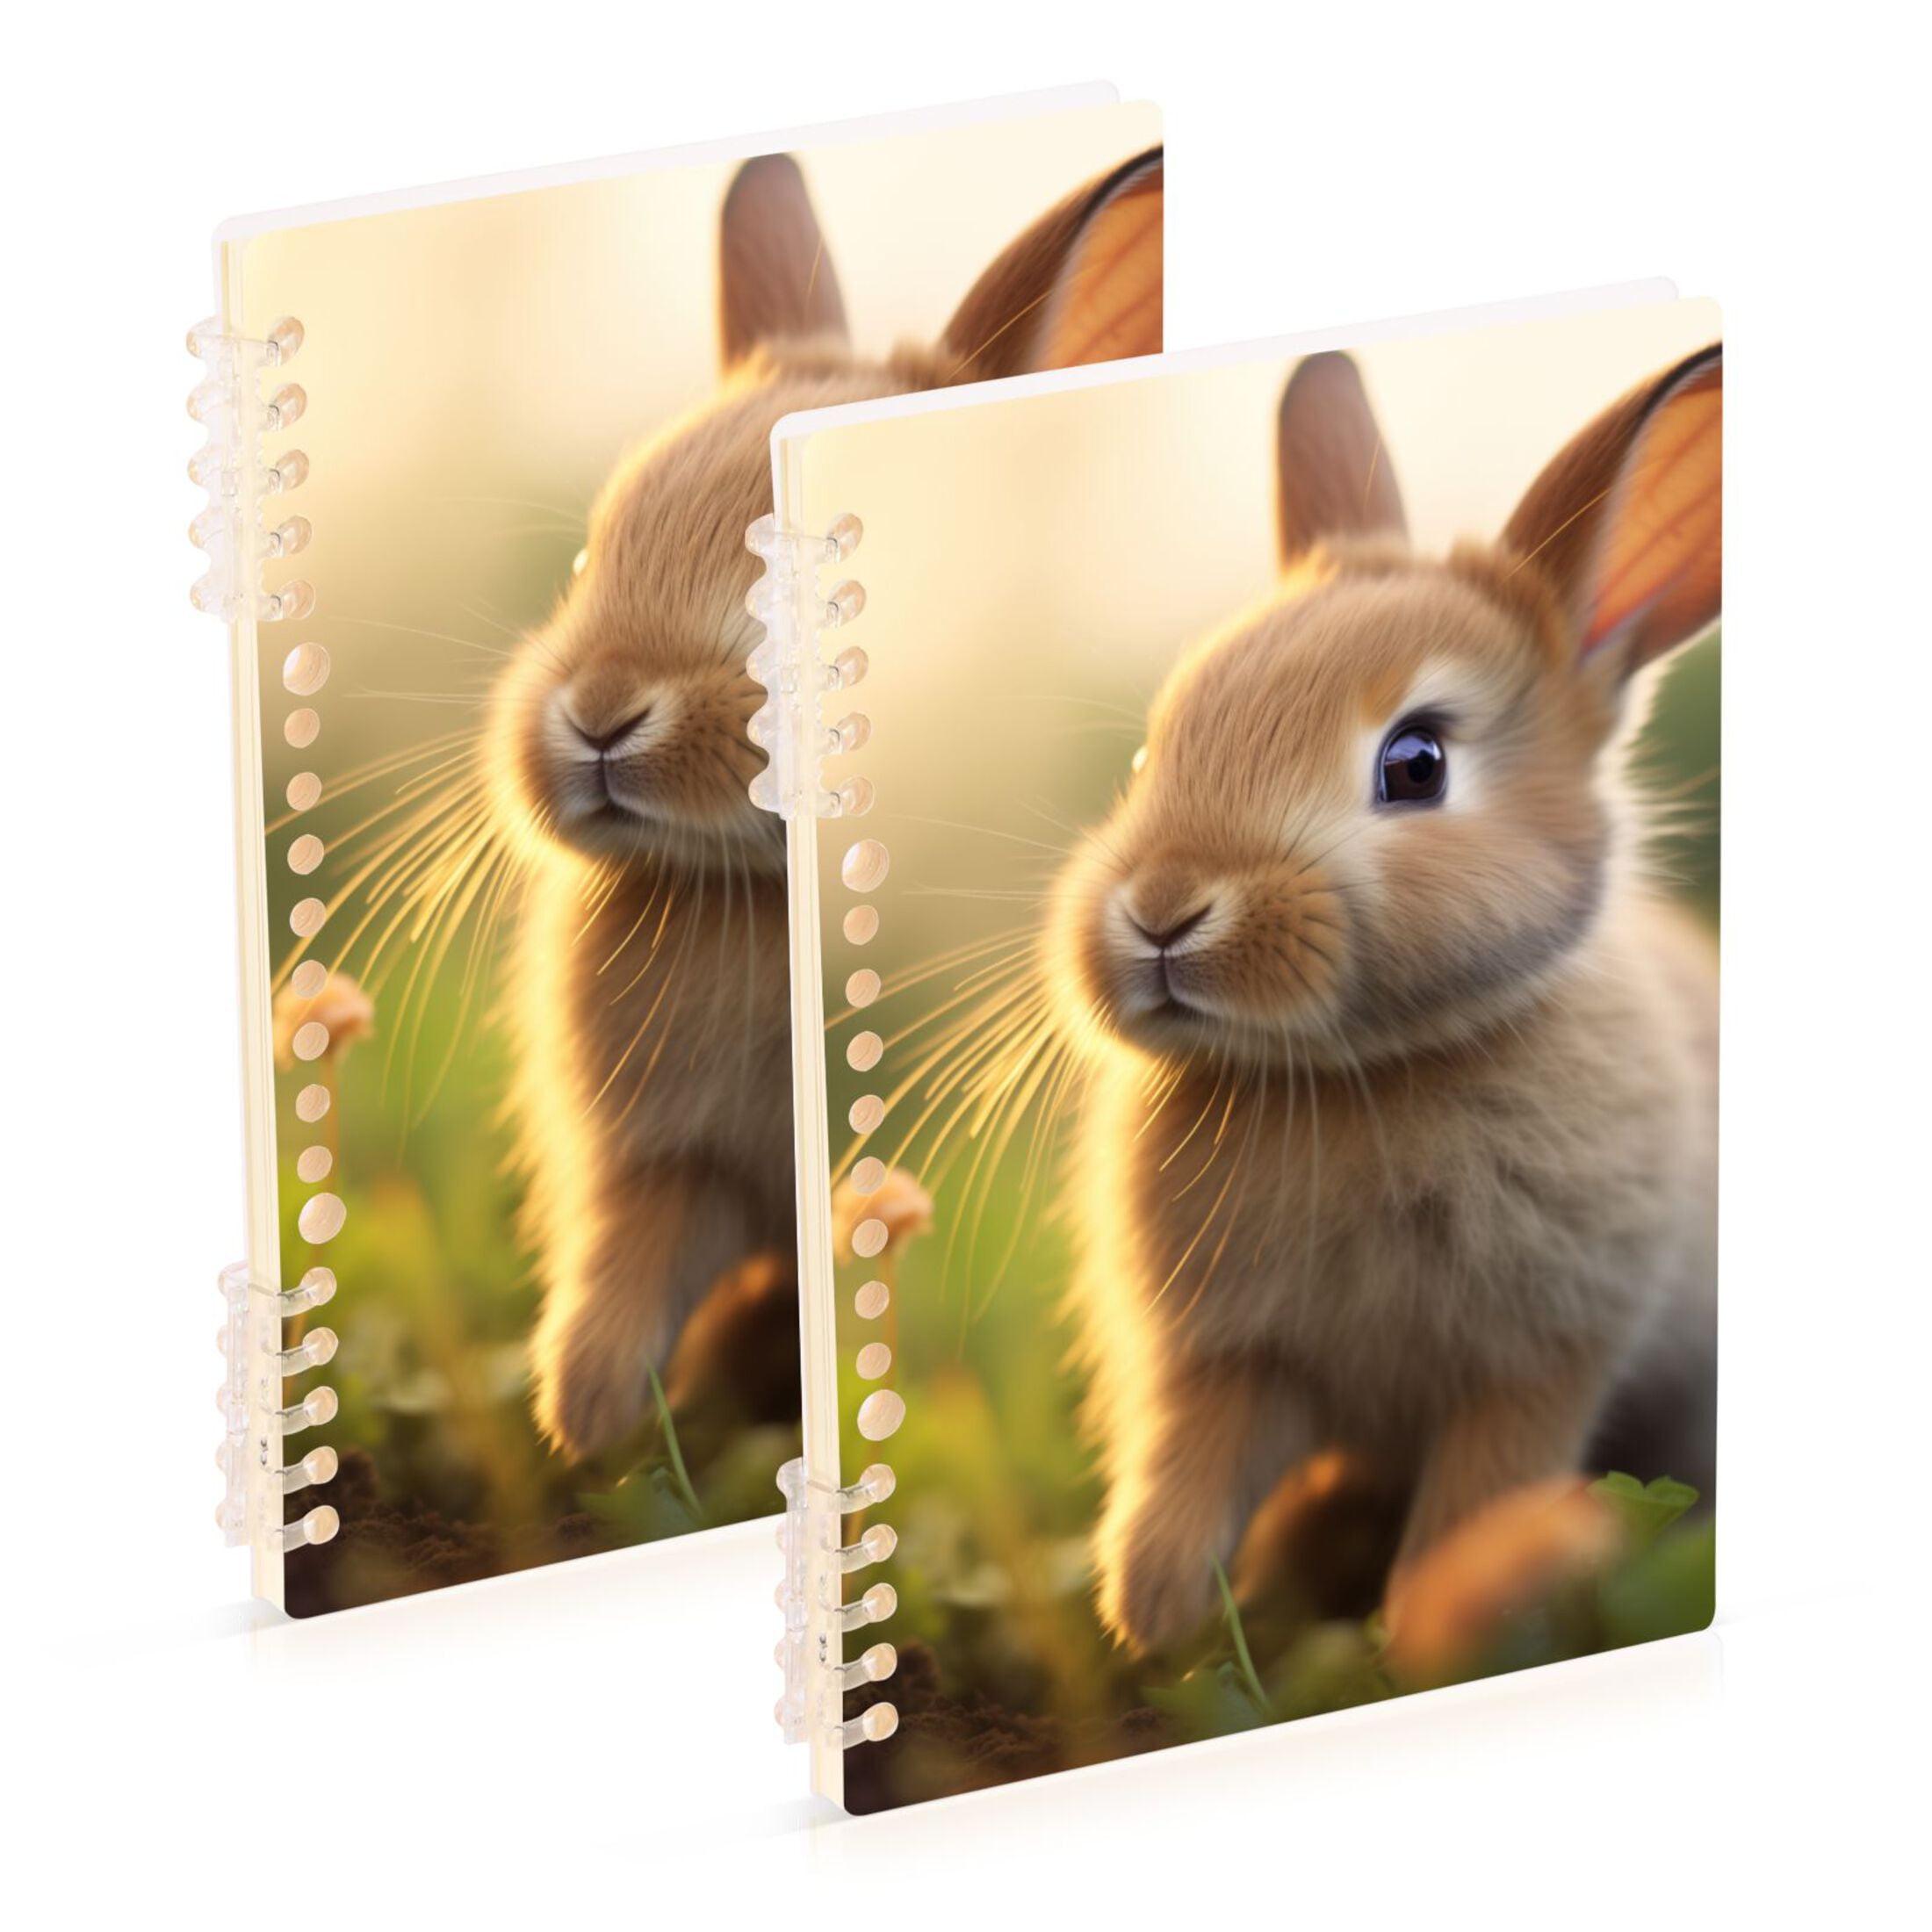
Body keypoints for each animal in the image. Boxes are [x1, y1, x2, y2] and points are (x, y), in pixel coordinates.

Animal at [487, 145, 1165, 1458]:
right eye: (594, 556)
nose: (599, 715)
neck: (754, 896)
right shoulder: (670, 1166)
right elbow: (633, 1270)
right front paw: (582, 1417)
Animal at [1048, 343, 1721, 1651]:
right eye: (1157, 750)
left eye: (1416, 765)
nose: (1163, 912)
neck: (1357, 1074)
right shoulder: (1229, 1359)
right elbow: (1188, 1475)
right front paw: (1155, 1621)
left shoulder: (1541, 1362)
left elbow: (1480, 1493)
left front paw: (1429, 1634)